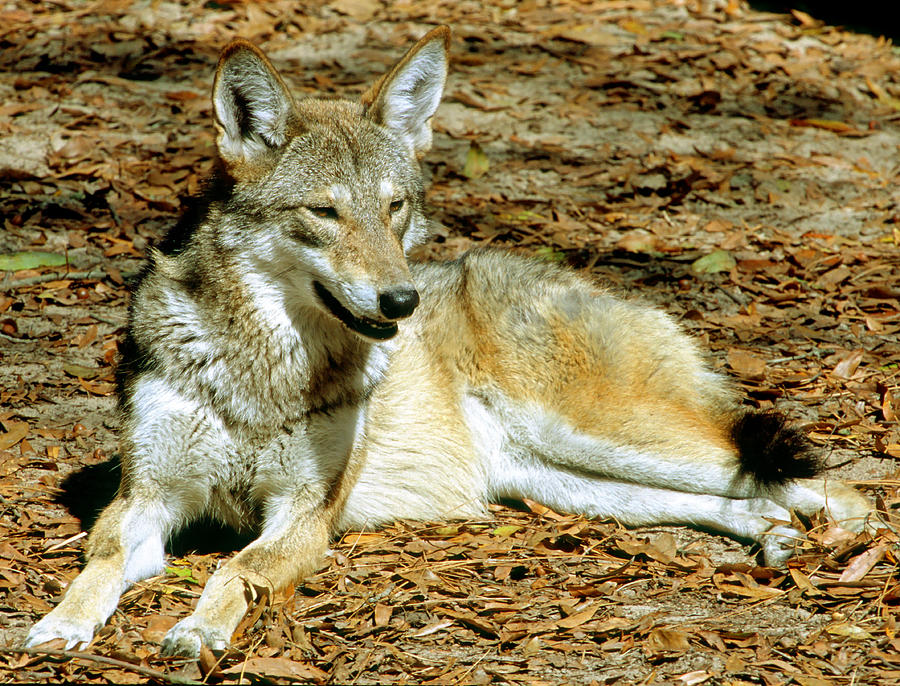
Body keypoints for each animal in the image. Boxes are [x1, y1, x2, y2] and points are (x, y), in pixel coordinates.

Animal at [26, 26, 872, 657]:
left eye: (394, 208)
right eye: (325, 213)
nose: (402, 300)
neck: (261, 368)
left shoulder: (303, 514)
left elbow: (239, 568)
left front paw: (198, 630)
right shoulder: (146, 499)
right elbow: (98, 563)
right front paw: (60, 624)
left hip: (609, 439)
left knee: (835, 484)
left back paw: (844, 546)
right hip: (567, 481)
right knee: (743, 498)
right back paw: (773, 540)